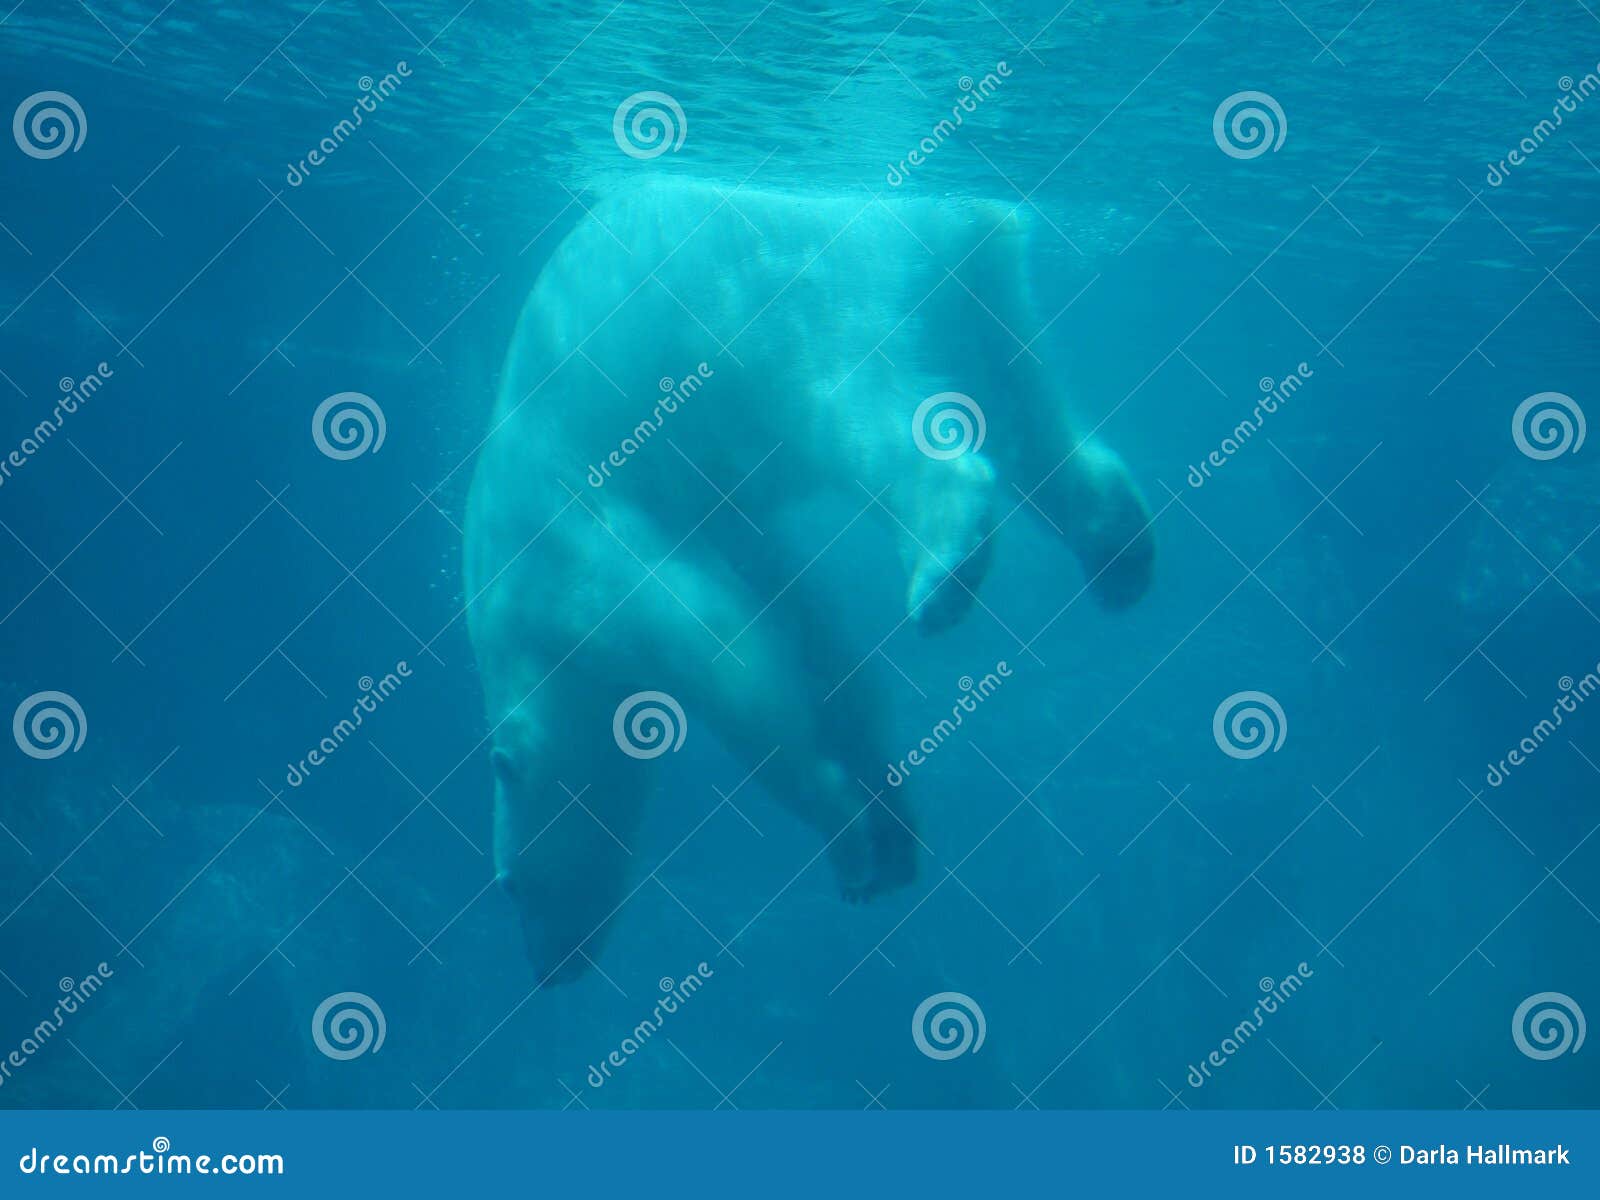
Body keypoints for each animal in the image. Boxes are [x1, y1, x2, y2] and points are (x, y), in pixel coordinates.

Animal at [463, 177, 1154, 983]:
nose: (549, 969)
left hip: (801, 313)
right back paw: (1118, 552)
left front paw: (846, 837)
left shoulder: (560, 559)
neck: (504, 630)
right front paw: (891, 828)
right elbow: (812, 636)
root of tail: (937, 222)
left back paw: (945, 577)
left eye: (510, 886)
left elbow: (727, 656)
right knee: (1029, 411)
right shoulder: (717, 520)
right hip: (980, 304)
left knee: (866, 421)